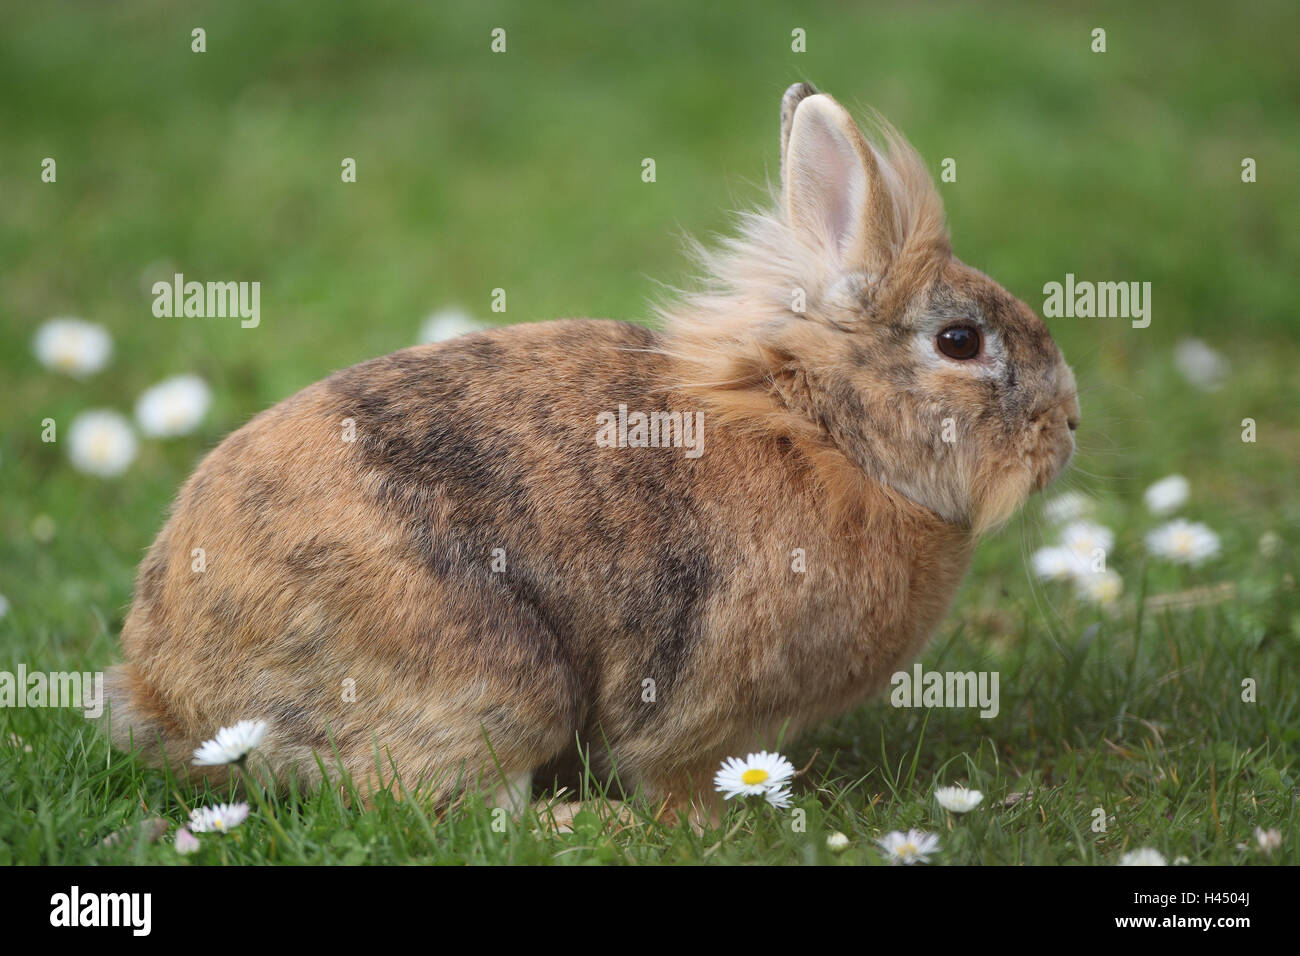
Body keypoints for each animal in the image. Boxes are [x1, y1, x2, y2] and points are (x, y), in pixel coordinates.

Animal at [104, 82, 1079, 823]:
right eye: (960, 341)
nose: (1068, 427)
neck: (829, 435)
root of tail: (169, 689)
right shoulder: (692, 700)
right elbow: (671, 766)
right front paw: (707, 825)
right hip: (497, 683)